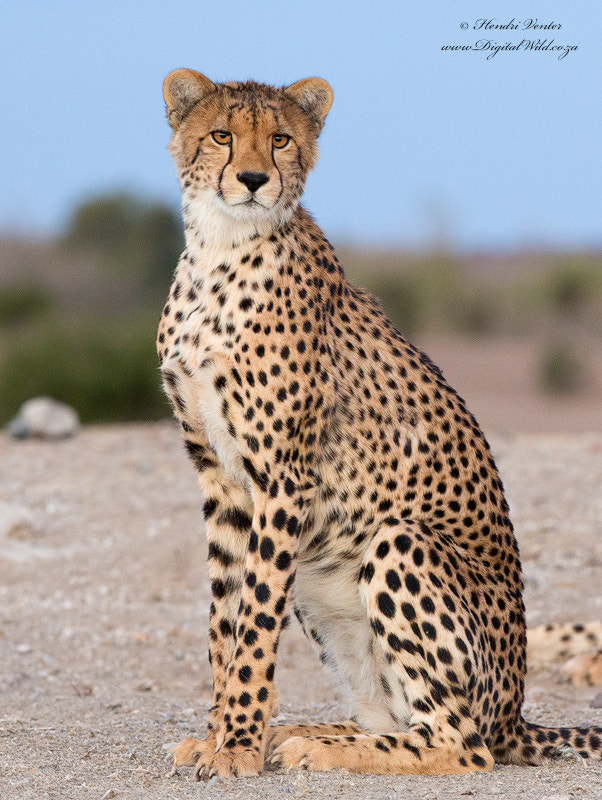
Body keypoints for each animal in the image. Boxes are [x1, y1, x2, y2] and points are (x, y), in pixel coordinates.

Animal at [156, 68, 602, 779]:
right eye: (222, 135)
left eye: (280, 139)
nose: (253, 178)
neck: (220, 250)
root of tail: (514, 713)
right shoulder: (221, 481)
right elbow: (224, 621)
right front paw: (220, 735)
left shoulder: (285, 481)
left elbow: (253, 622)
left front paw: (238, 748)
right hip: (321, 588)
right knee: (395, 719)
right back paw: (307, 734)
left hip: (397, 542)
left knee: (460, 744)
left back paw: (309, 744)